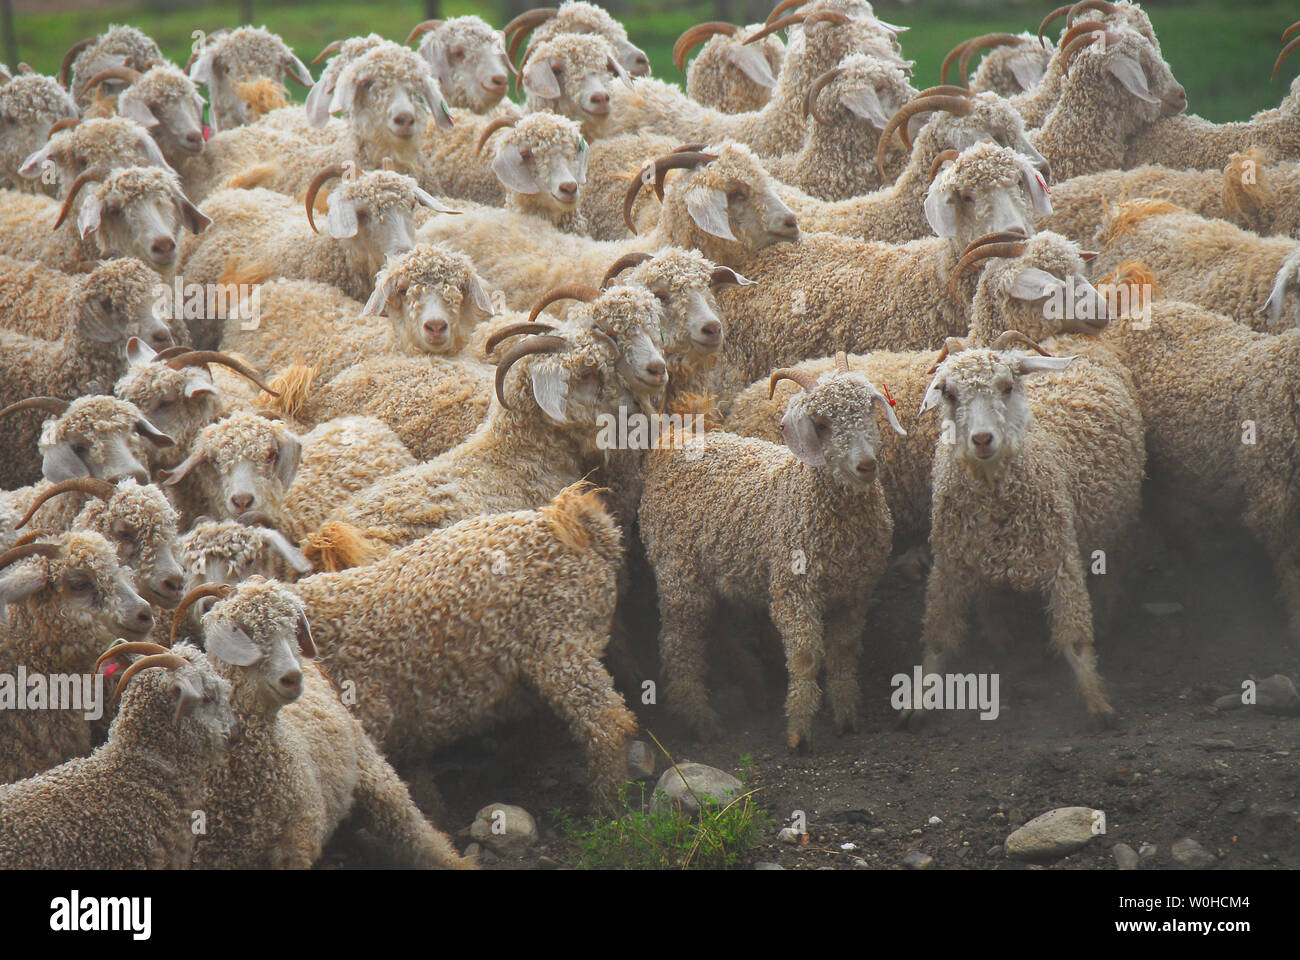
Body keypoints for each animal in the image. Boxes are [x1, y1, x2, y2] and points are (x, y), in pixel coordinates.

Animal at [185, 580, 471, 868]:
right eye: (243, 629)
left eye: (293, 627)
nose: (292, 678)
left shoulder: (299, 840)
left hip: (374, 770)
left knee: (418, 833)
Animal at [640, 355, 903, 751]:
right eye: (821, 424)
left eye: (868, 411)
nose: (866, 465)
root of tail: (675, 440)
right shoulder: (793, 590)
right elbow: (806, 657)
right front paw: (799, 733)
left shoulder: (855, 593)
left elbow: (843, 653)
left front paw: (847, 718)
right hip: (677, 571)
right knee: (679, 645)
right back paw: (703, 722)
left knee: (712, 627)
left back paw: (751, 686)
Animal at [904, 331, 1145, 729]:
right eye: (948, 393)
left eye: (1006, 385)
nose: (982, 439)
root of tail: (1075, 337)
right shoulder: (949, 563)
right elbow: (937, 638)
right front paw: (917, 702)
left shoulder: (1061, 556)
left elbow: (1075, 638)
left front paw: (1097, 701)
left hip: (1121, 518)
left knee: (1117, 563)